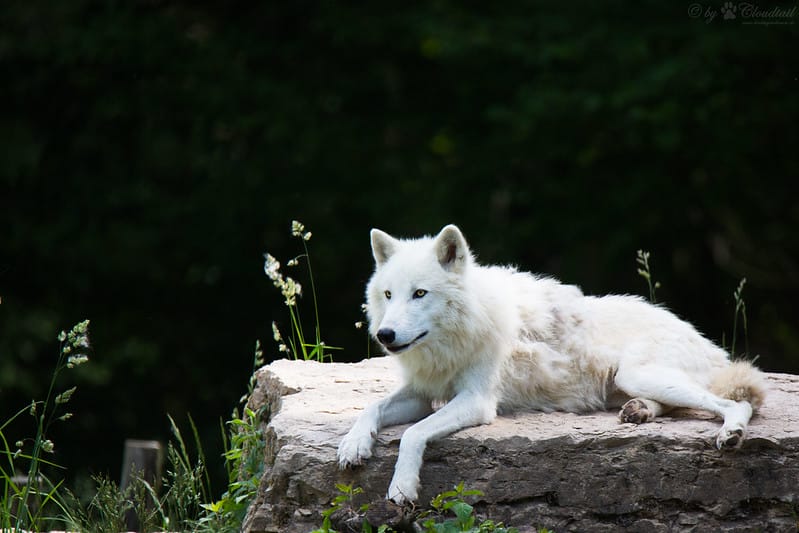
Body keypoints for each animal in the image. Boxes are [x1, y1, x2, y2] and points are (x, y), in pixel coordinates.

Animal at [337, 225, 766, 505]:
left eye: (420, 294)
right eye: (388, 294)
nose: (385, 334)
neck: (456, 336)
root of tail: (711, 345)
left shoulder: (476, 400)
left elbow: (413, 434)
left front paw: (401, 486)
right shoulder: (423, 393)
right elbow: (371, 407)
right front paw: (353, 444)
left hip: (641, 374)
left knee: (735, 403)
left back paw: (731, 433)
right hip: (634, 382)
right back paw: (638, 412)